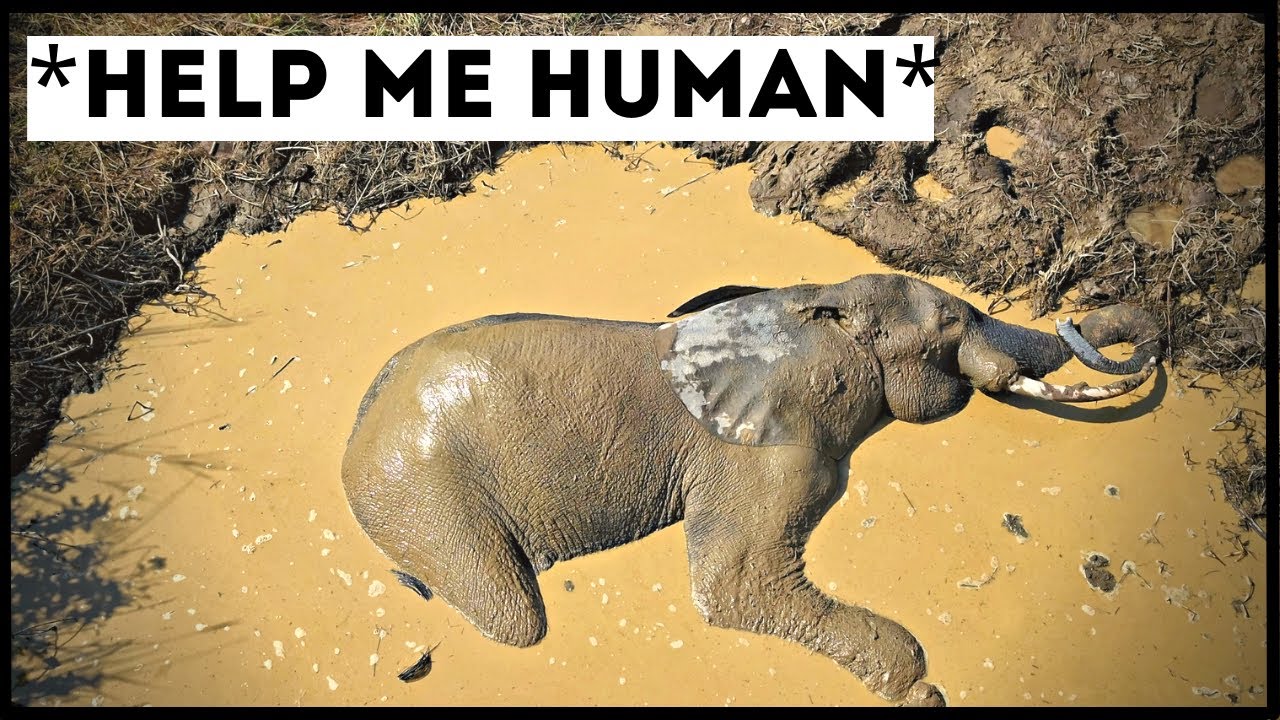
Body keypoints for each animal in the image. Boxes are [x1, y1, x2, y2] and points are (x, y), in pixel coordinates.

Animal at [341, 273, 1162, 706]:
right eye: (951, 323)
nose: (1078, 320)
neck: (816, 304)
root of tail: (352, 438)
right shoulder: (764, 452)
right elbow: (734, 590)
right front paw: (920, 688)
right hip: (424, 491)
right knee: (516, 621)